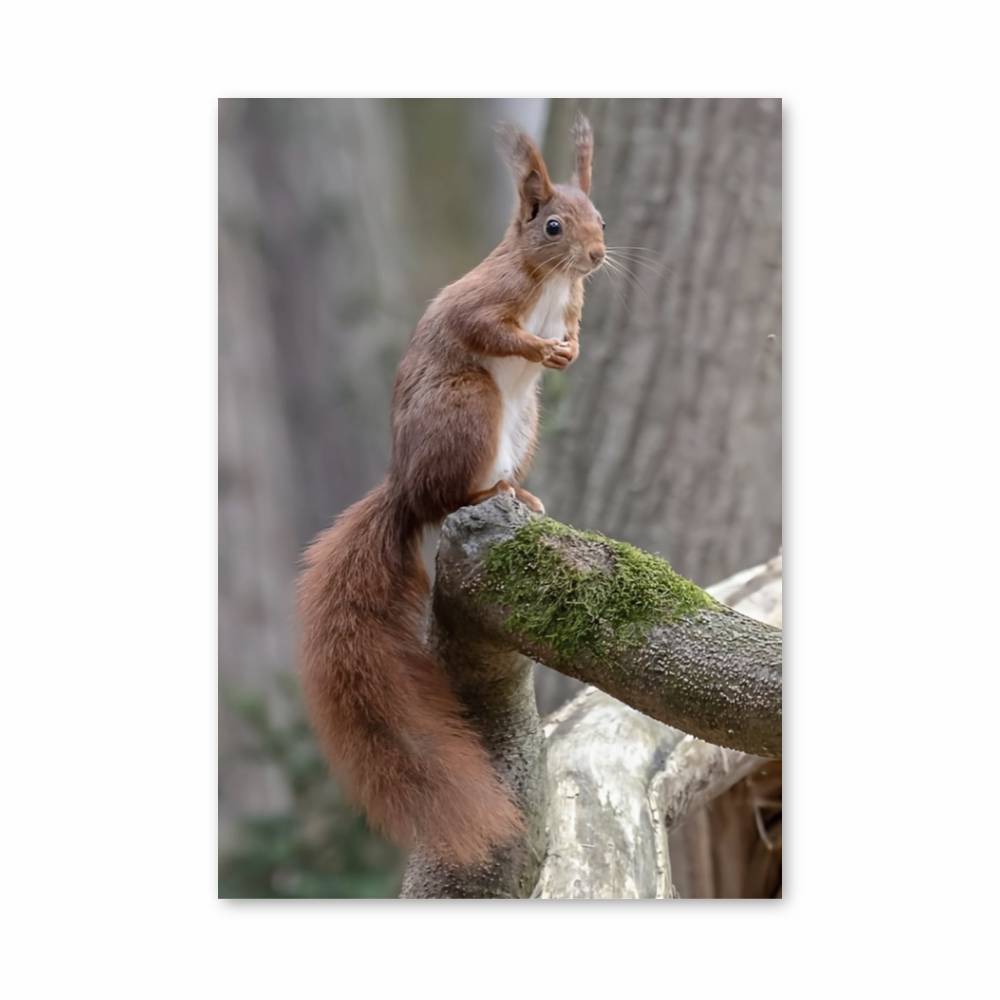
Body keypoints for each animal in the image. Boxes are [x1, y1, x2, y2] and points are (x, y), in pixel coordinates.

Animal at [296, 113, 606, 865]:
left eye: (602, 217)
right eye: (553, 225)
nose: (596, 255)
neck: (552, 283)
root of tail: (402, 488)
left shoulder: (574, 301)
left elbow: (576, 325)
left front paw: (570, 348)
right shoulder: (485, 299)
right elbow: (486, 328)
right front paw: (541, 349)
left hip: (523, 425)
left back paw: (520, 495)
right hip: (470, 408)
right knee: (445, 501)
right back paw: (480, 497)